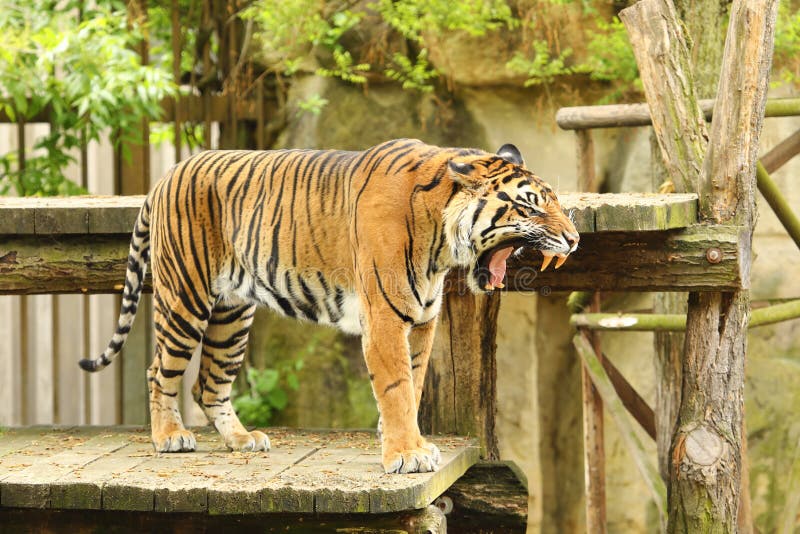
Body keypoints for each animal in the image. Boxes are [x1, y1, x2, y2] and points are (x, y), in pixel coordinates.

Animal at [79, 138, 579, 474]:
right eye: (531, 208)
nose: (574, 240)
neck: (440, 240)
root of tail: (167, 174)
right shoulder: (386, 319)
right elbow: (397, 387)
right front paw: (407, 454)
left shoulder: (421, 322)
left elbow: (414, 386)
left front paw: (403, 442)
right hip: (185, 297)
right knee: (159, 370)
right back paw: (170, 437)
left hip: (232, 314)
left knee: (208, 383)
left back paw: (242, 439)